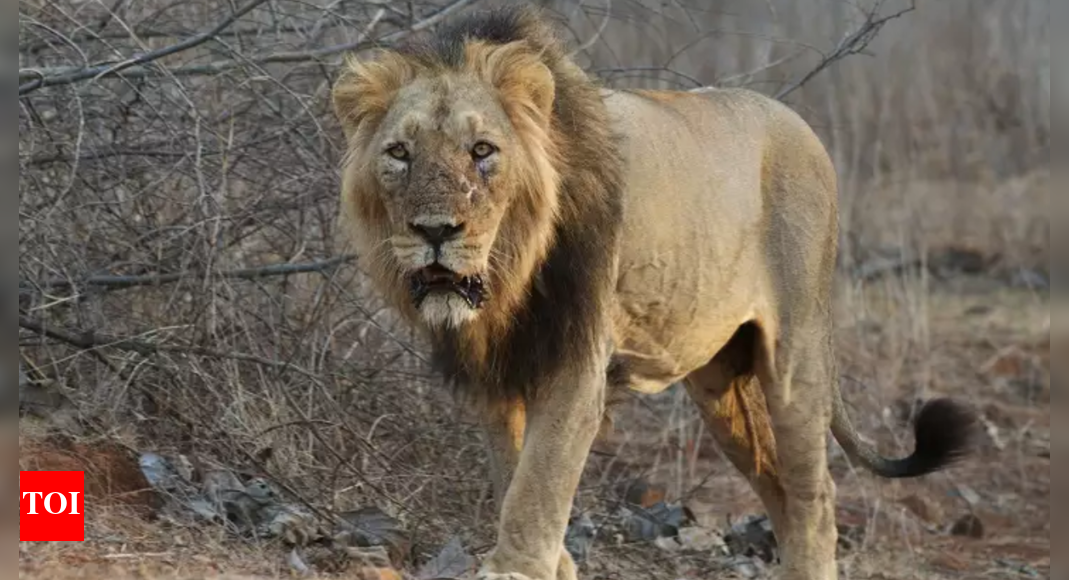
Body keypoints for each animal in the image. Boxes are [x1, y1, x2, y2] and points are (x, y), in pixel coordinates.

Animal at [330, 5, 979, 580]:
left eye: (482, 151)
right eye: (399, 153)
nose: (435, 231)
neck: (508, 282)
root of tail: (800, 124)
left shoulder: (576, 363)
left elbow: (539, 481)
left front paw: (516, 569)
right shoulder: (497, 374)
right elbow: (513, 475)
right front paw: (555, 565)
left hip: (797, 354)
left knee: (815, 493)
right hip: (721, 385)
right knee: (778, 487)